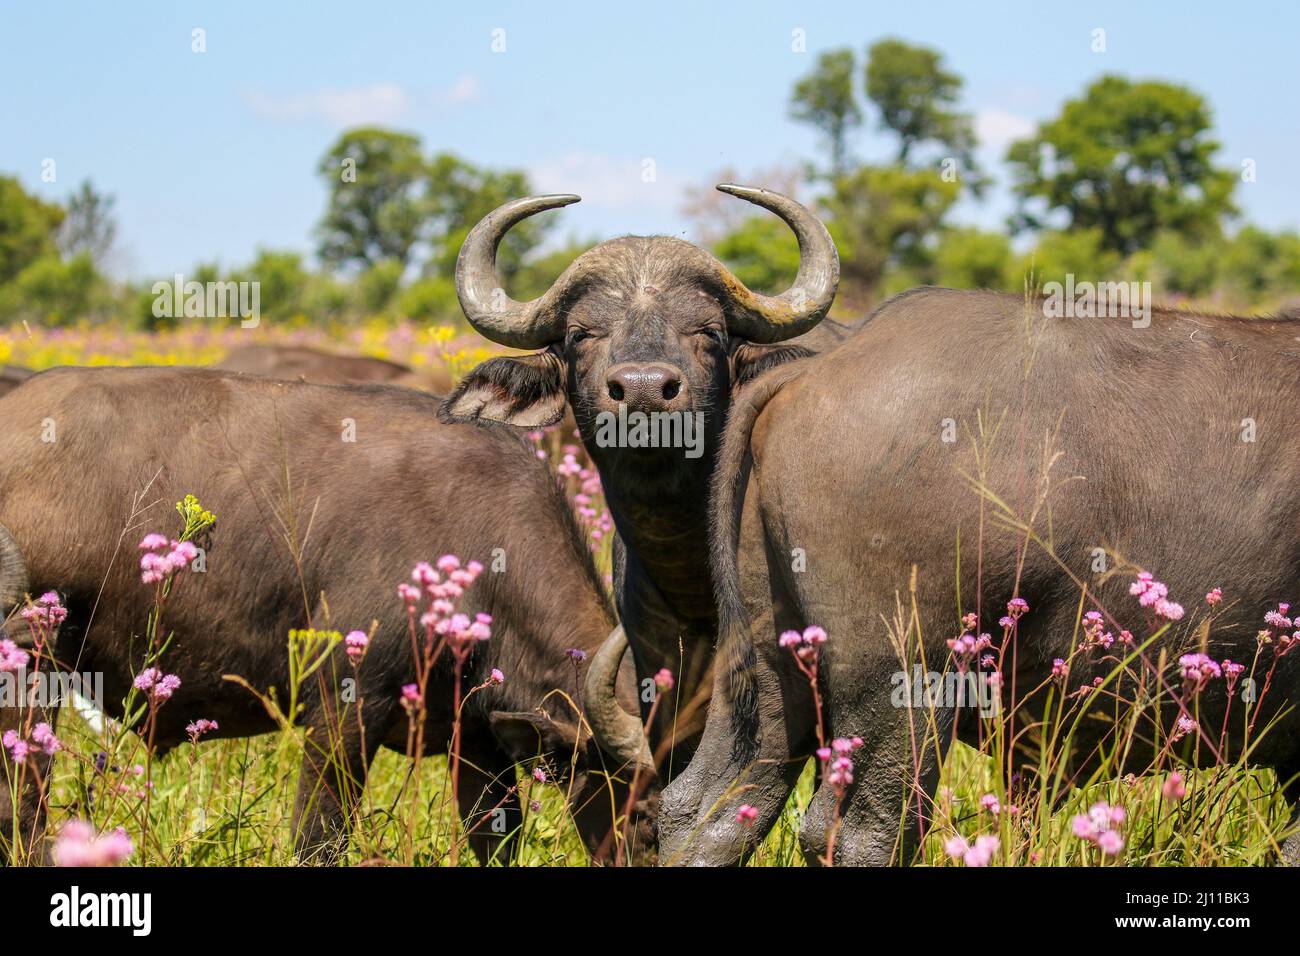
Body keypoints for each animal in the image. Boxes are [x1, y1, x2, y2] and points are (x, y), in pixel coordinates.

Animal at [0, 366, 652, 864]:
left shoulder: (477, 740)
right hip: (32, 673)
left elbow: (497, 840)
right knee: (22, 805)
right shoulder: (345, 710)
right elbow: (320, 839)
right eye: (645, 816)